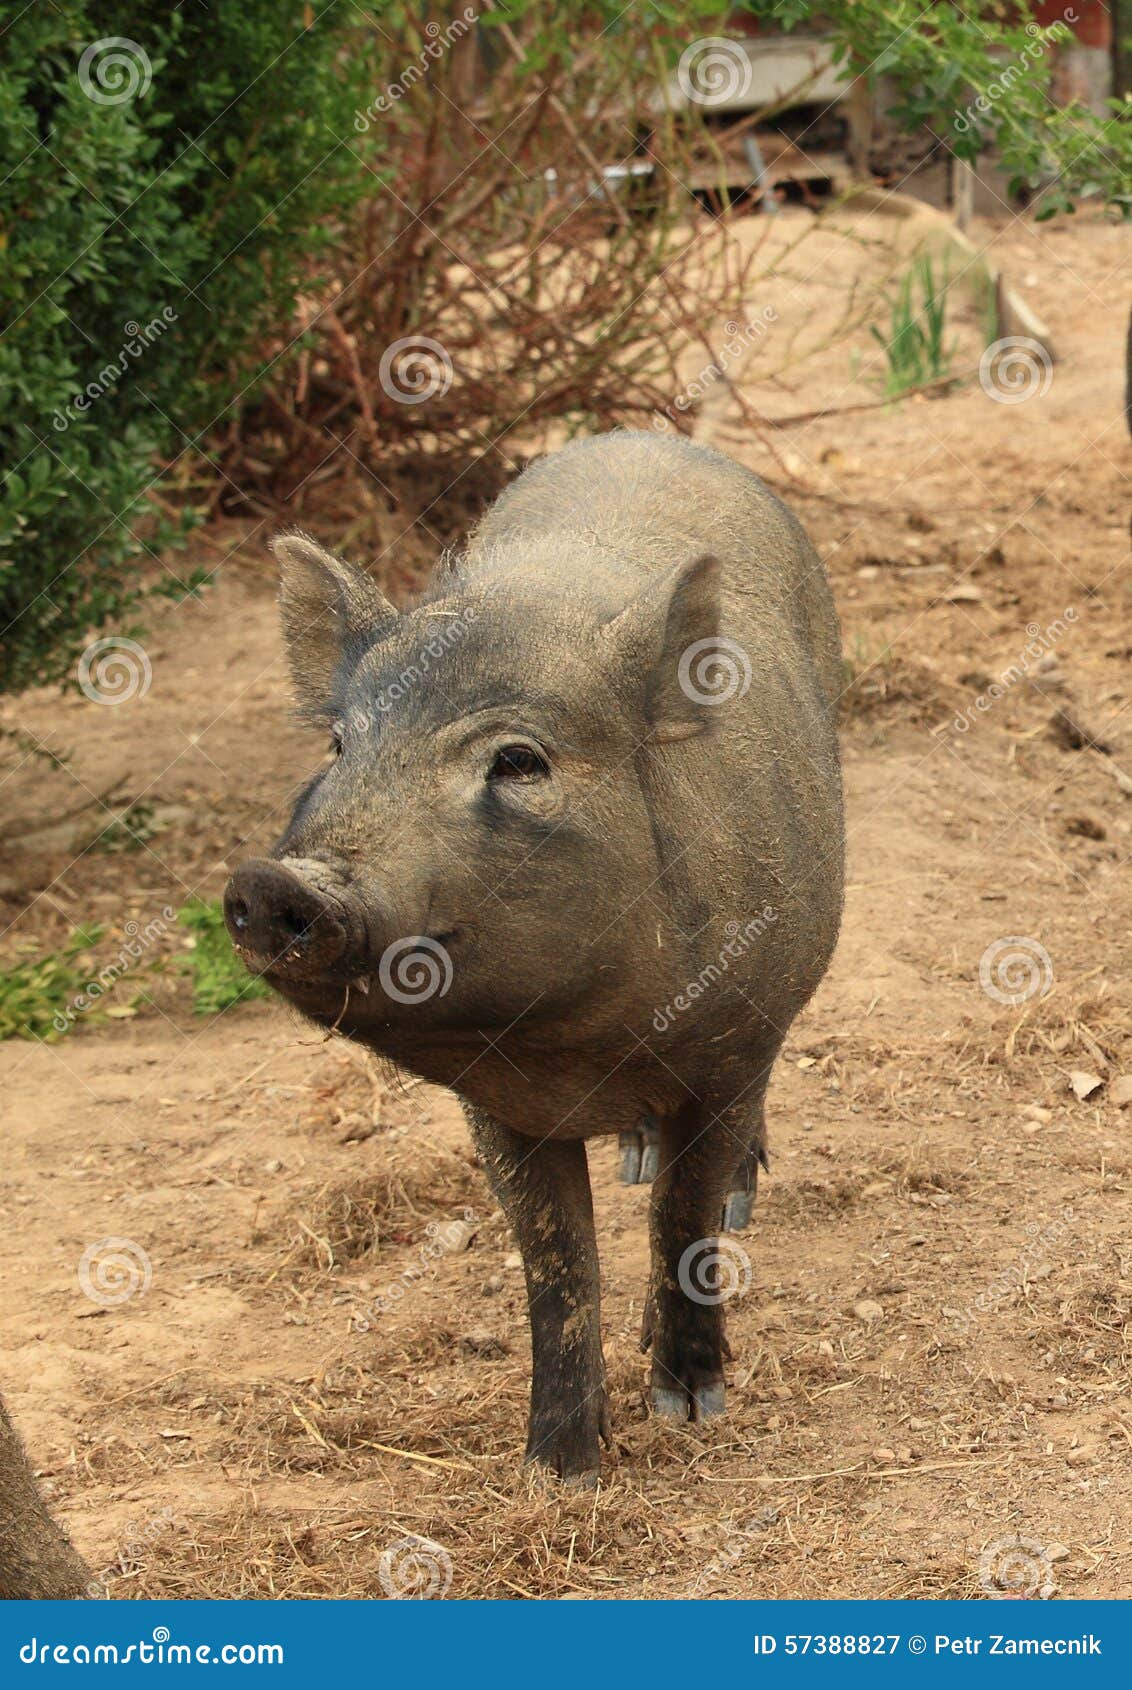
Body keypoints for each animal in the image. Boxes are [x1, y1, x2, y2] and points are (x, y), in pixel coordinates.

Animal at [225, 430, 843, 1484]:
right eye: (341, 745)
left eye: (519, 760)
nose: (275, 881)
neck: (580, 1051)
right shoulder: (496, 1105)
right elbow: (555, 1261)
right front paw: (557, 1472)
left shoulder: (728, 1046)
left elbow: (683, 1217)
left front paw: (691, 1408)